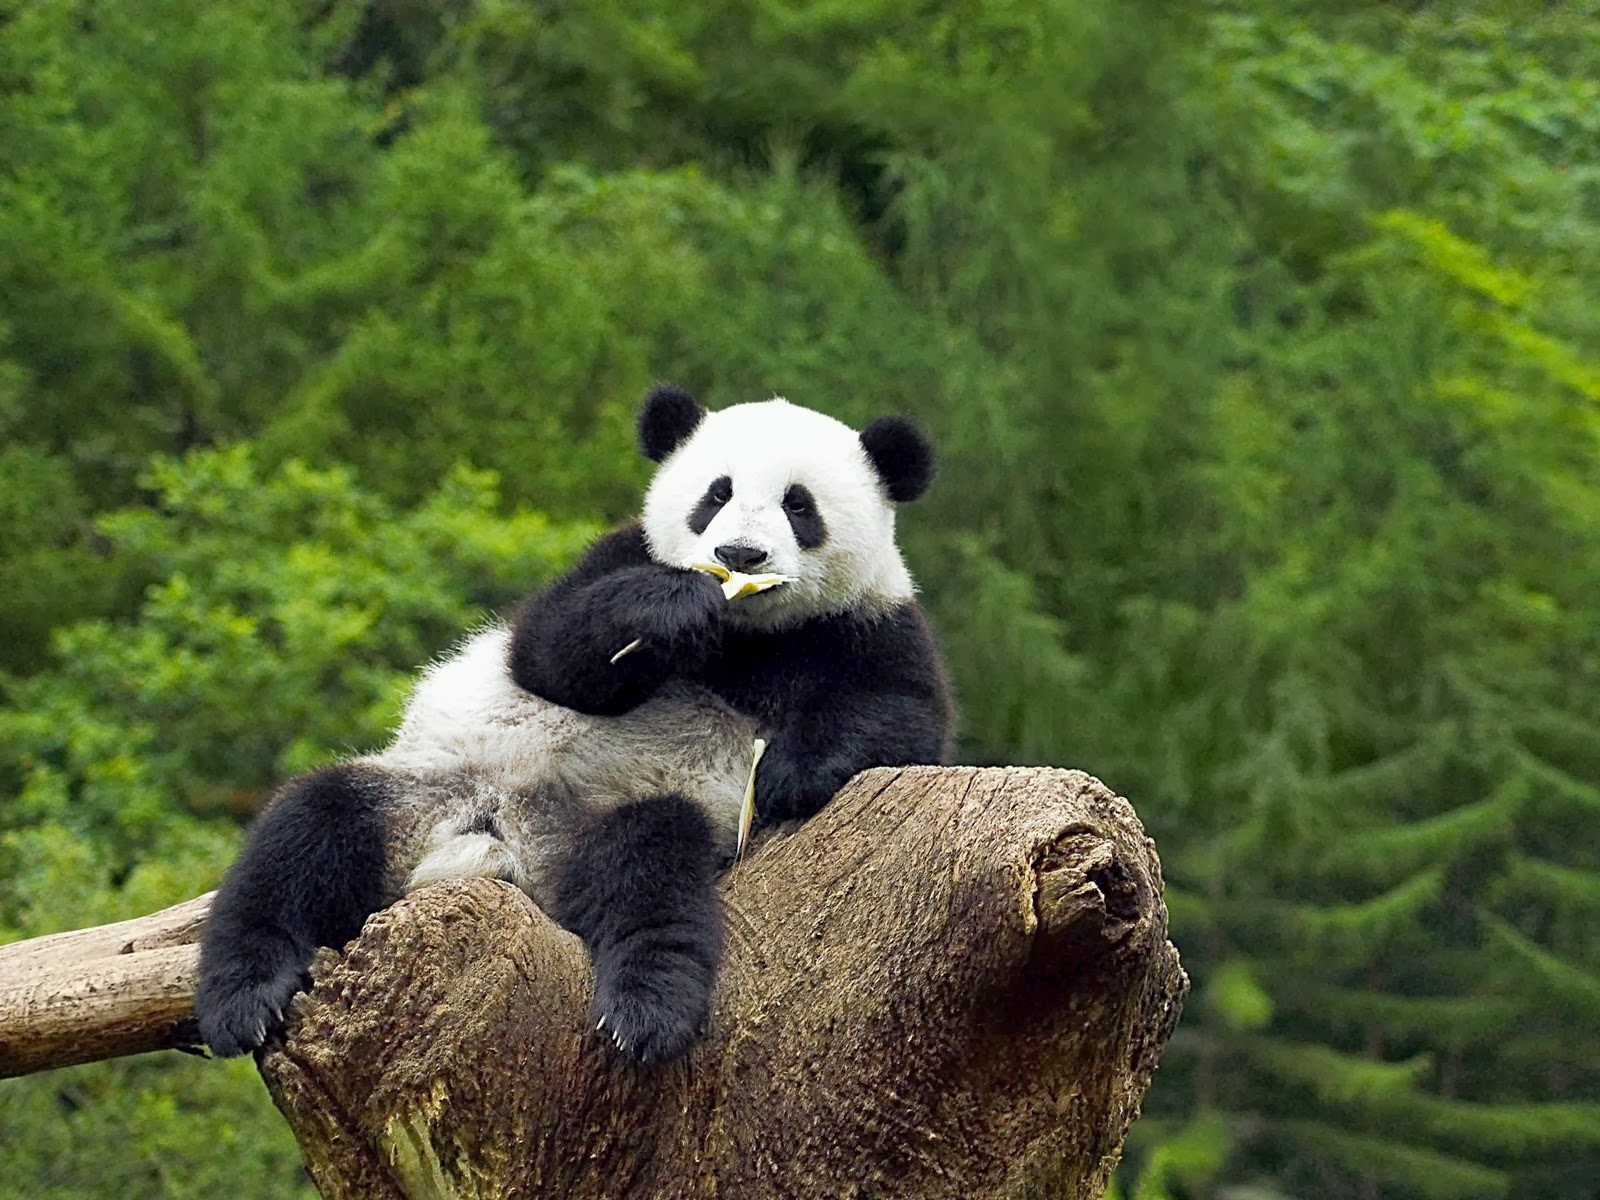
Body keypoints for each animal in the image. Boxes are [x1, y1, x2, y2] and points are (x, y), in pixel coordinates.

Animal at [195, 384, 954, 1064]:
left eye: (799, 505)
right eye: (716, 494)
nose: (739, 556)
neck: (747, 631)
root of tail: (503, 840)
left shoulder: (868, 623)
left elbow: (902, 717)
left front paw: (788, 774)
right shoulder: (616, 557)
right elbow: (548, 652)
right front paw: (669, 610)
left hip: (615, 816)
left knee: (648, 874)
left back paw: (645, 1010)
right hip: (421, 790)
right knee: (304, 833)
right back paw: (244, 997)